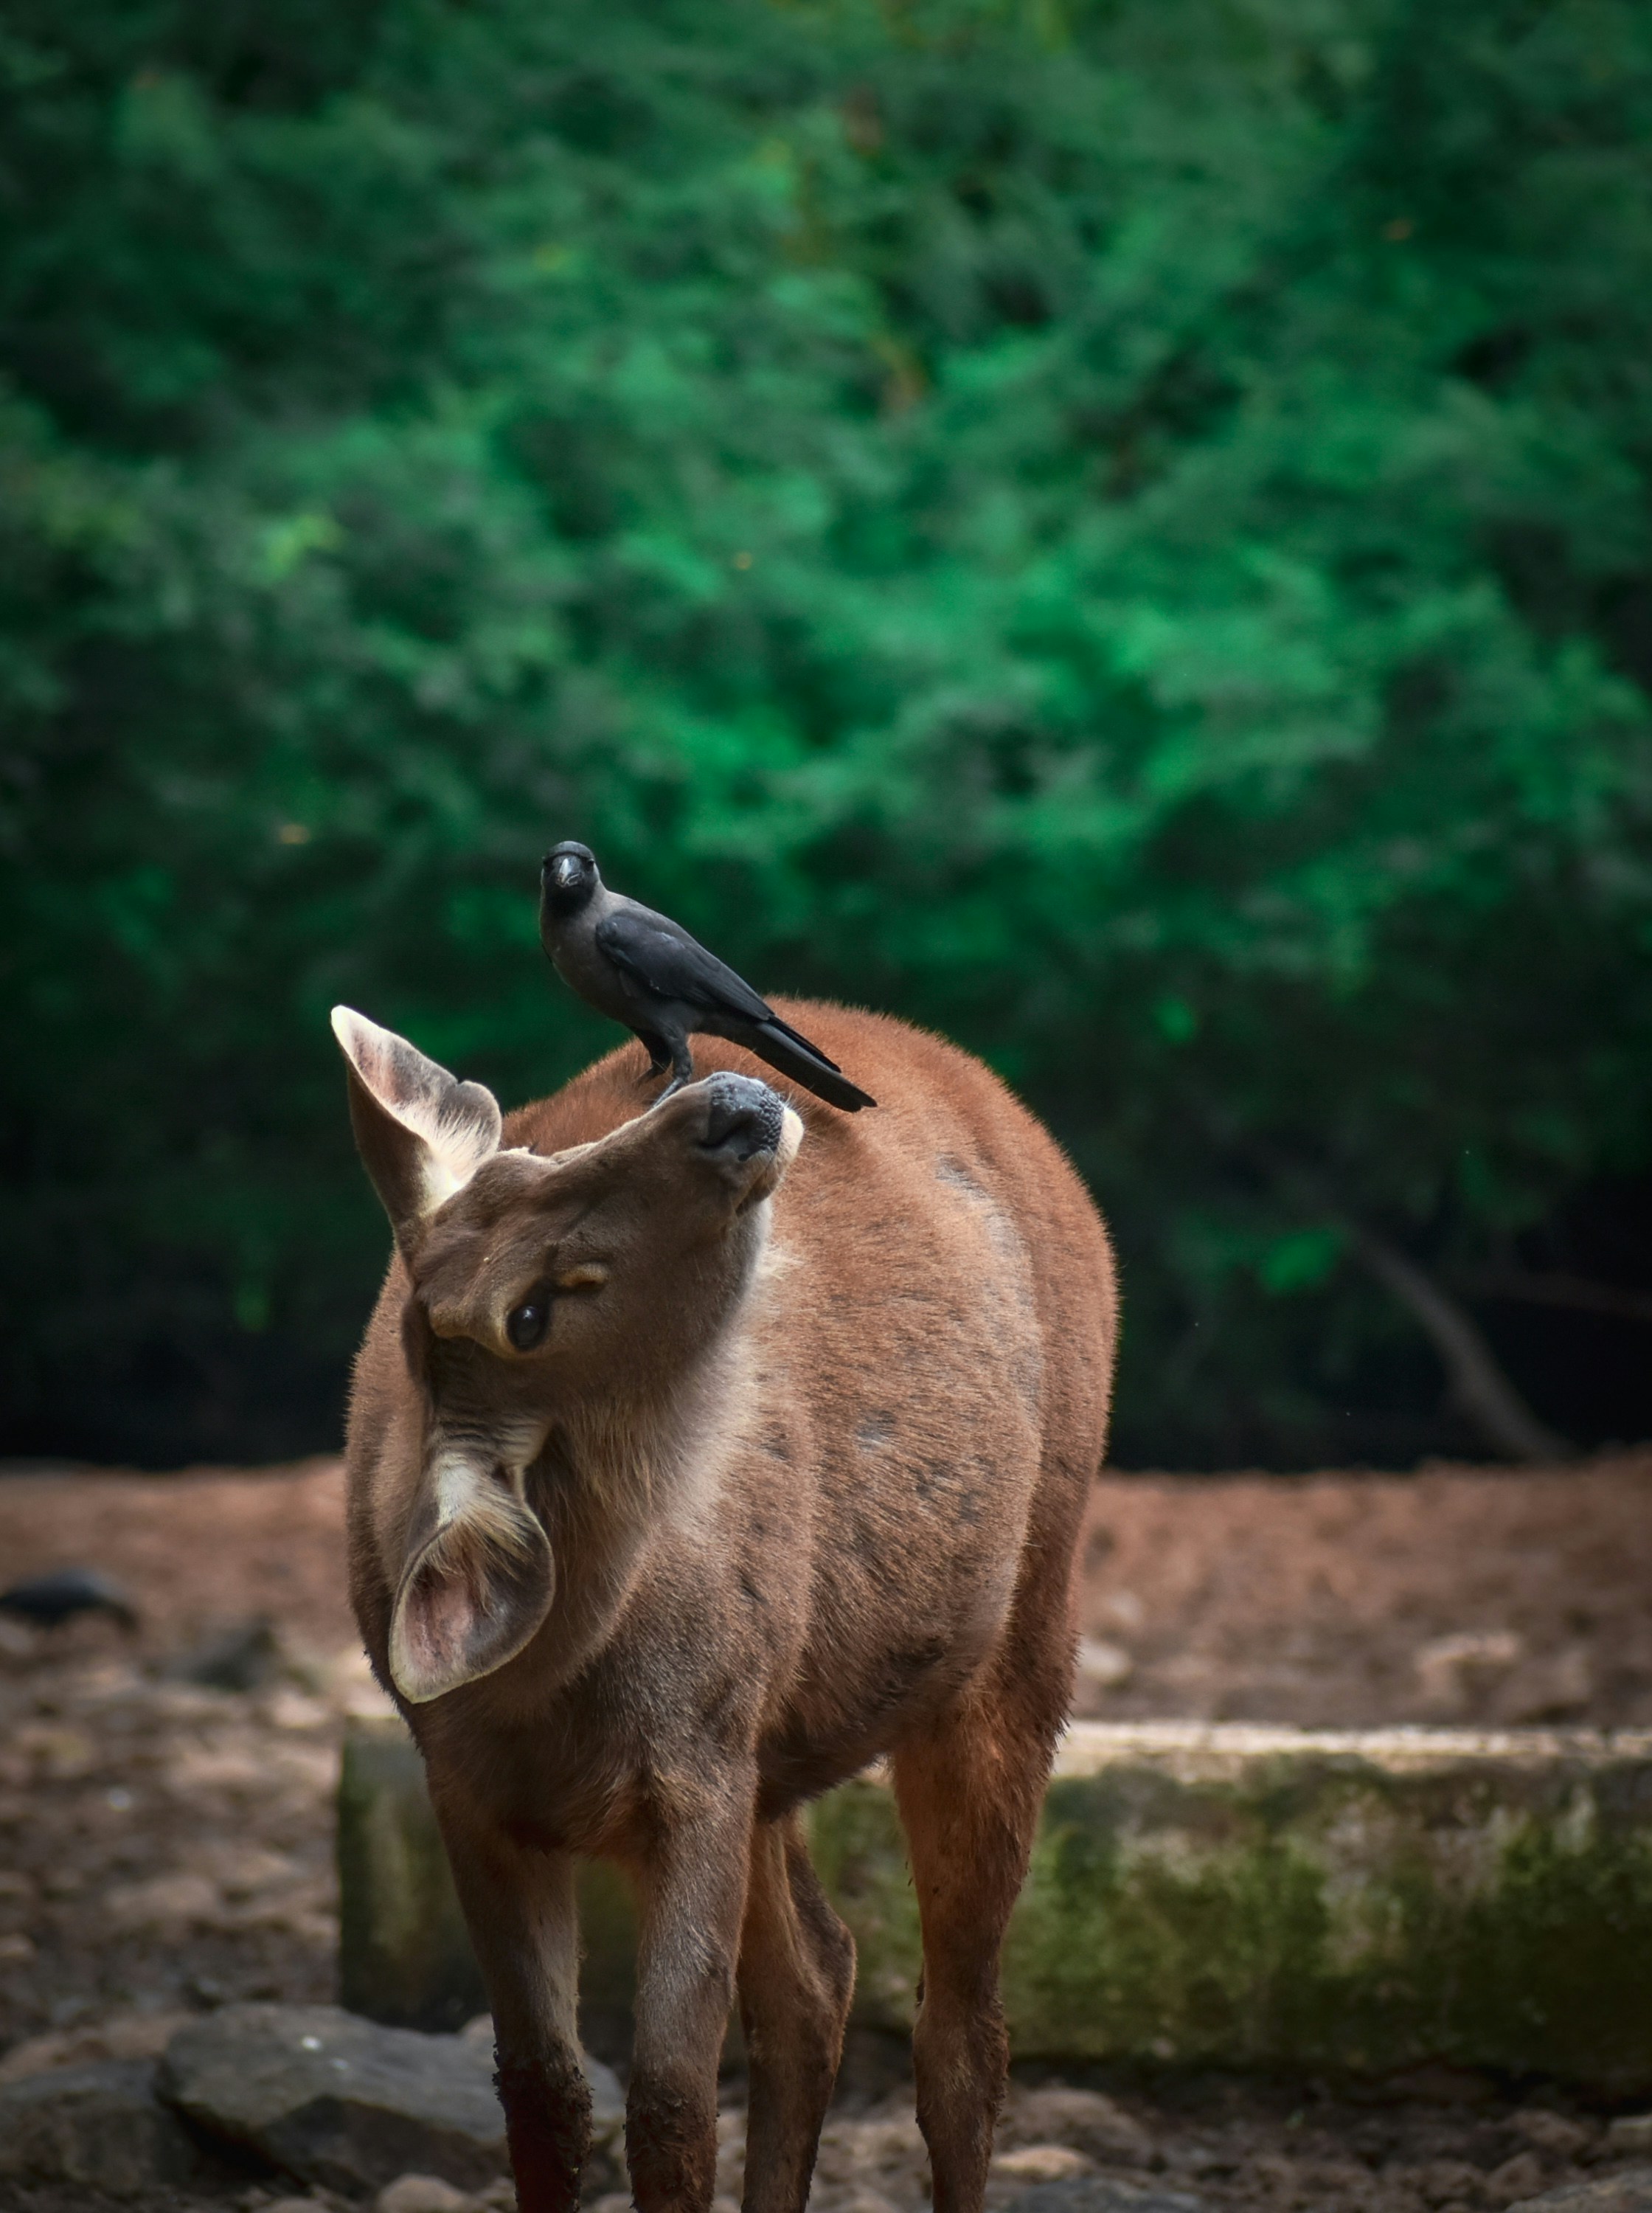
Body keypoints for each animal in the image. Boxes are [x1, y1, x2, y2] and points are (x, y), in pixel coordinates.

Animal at [332, 998, 1118, 2213]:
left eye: (527, 1162)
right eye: (530, 1315)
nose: (730, 1104)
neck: (548, 1694)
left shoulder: (696, 1766)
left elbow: (670, 2103)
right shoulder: (471, 1794)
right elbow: (542, 2090)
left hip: (1024, 1627)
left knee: (961, 2033)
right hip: (777, 1753)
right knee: (822, 1976)